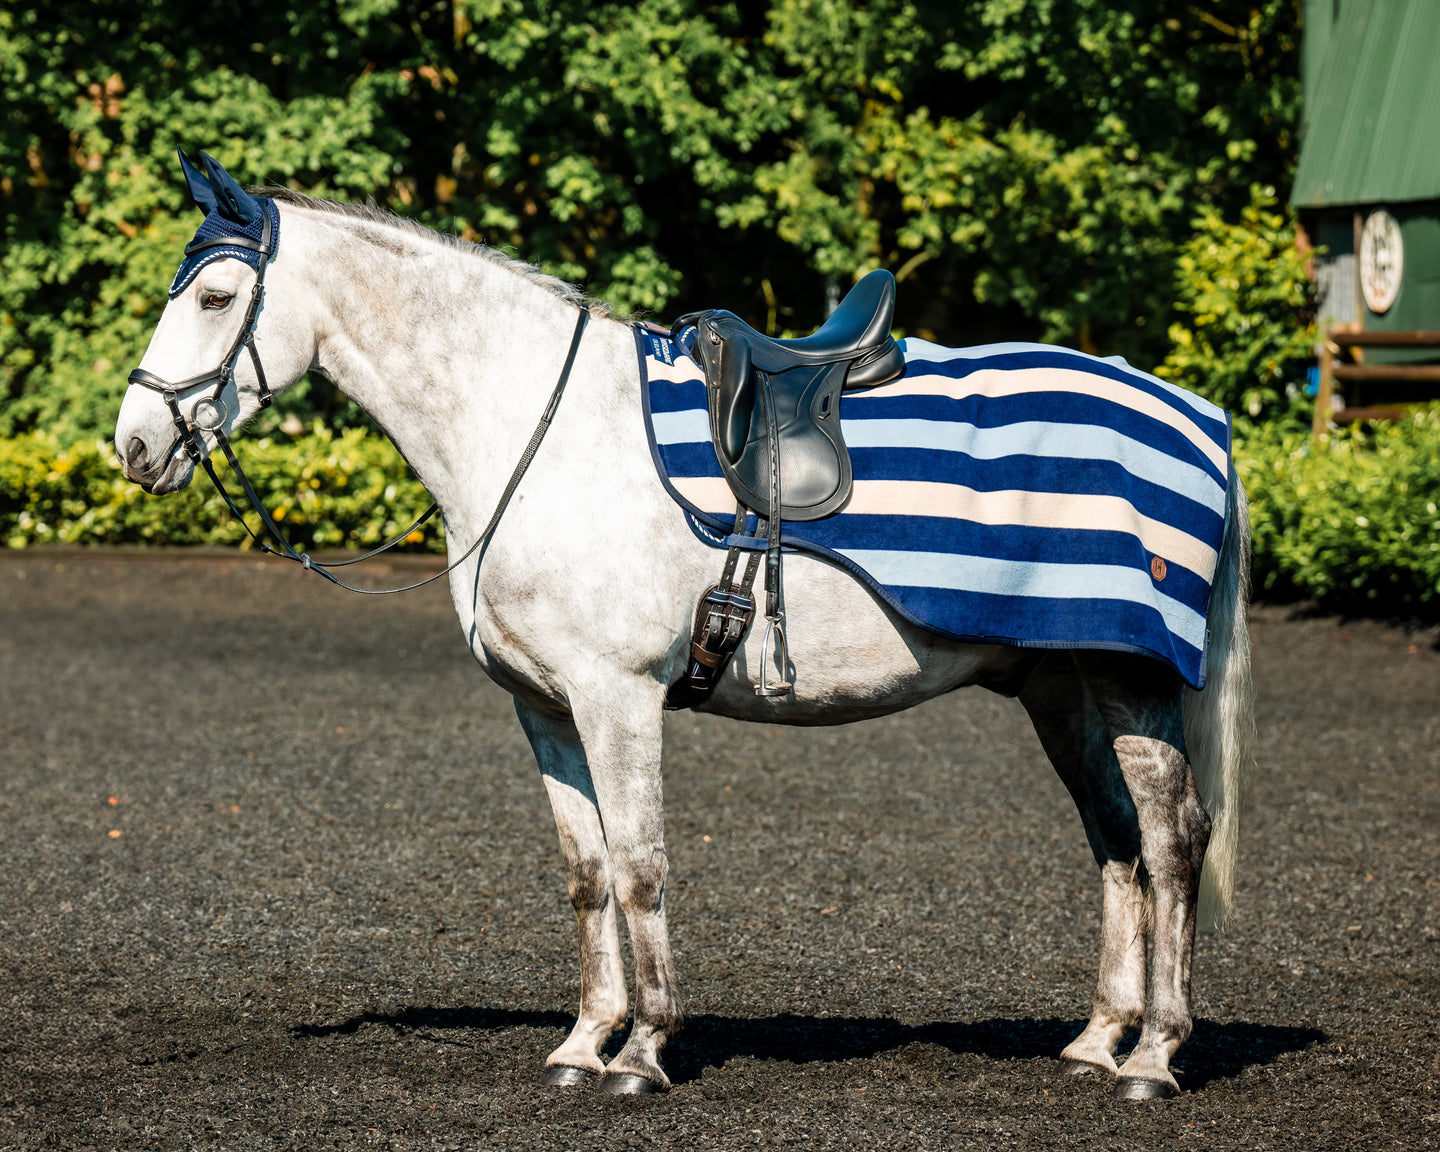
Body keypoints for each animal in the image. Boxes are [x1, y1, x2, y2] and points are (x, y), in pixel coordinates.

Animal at [115, 170, 1253, 1101]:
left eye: (214, 298)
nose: (134, 445)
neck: (538, 432)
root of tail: (1196, 416)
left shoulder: (617, 695)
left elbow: (639, 864)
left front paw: (646, 1052)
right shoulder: (547, 707)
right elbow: (585, 873)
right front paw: (584, 1044)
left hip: (1129, 679)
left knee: (1172, 838)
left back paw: (1154, 1057)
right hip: (1062, 688)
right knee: (1118, 843)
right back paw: (1099, 1042)